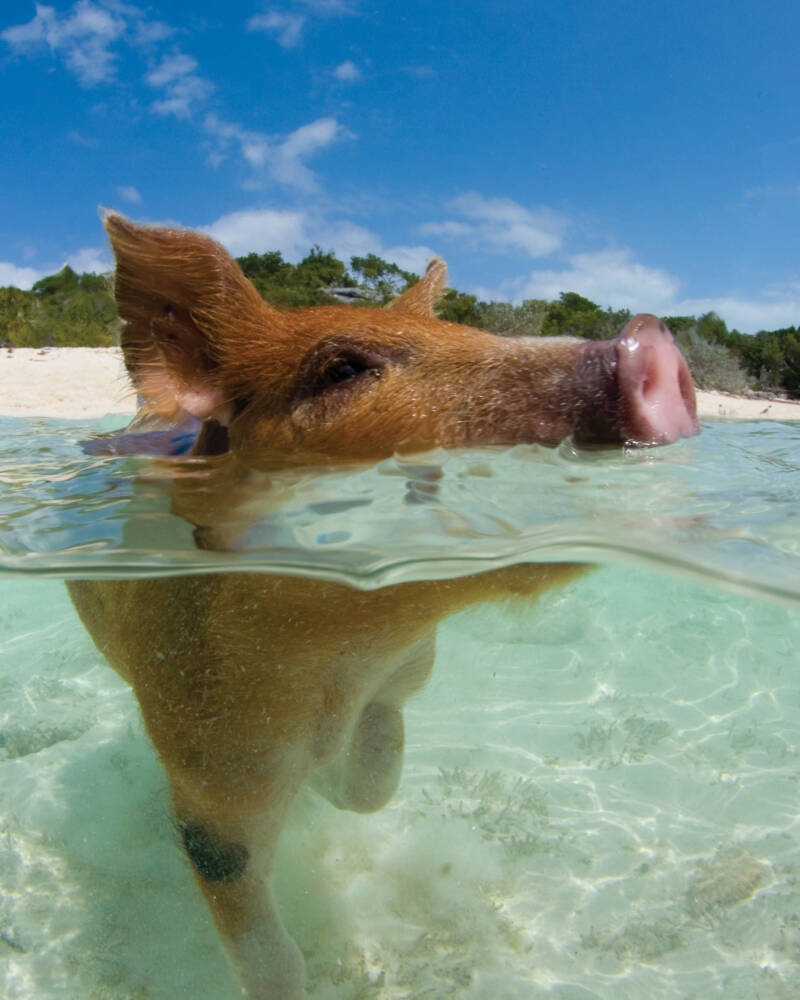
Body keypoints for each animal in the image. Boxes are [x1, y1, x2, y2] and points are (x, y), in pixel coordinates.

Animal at [67, 213, 699, 999]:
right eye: (342, 369)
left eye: (467, 330)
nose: (648, 341)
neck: (342, 658)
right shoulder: (205, 762)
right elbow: (252, 925)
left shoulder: (402, 675)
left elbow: (374, 783)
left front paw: (337, 782)